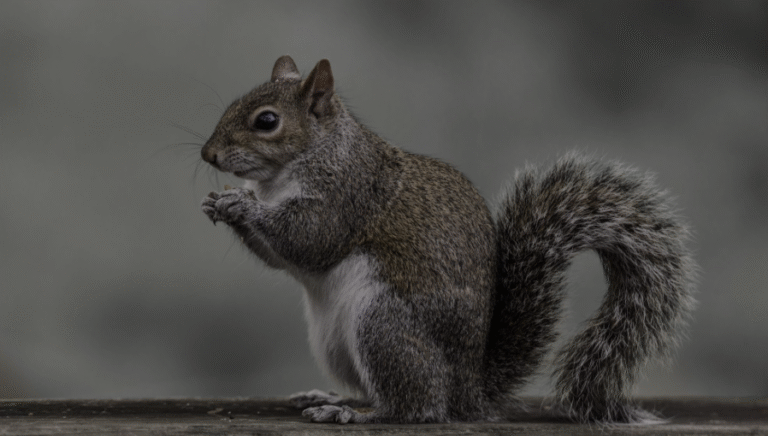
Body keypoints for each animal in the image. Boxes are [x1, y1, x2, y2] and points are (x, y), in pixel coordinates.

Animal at [199, 56, 696, 424]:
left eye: (267, 121)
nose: (209, 154)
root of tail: (467, 390)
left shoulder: (346, 198)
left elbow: (307, 240)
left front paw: (241, 205)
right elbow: (280, 257)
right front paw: (221, 203)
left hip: (384, 324)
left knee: (418, 406)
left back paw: (358, 414)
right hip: (335, 343)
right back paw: (333, 398)